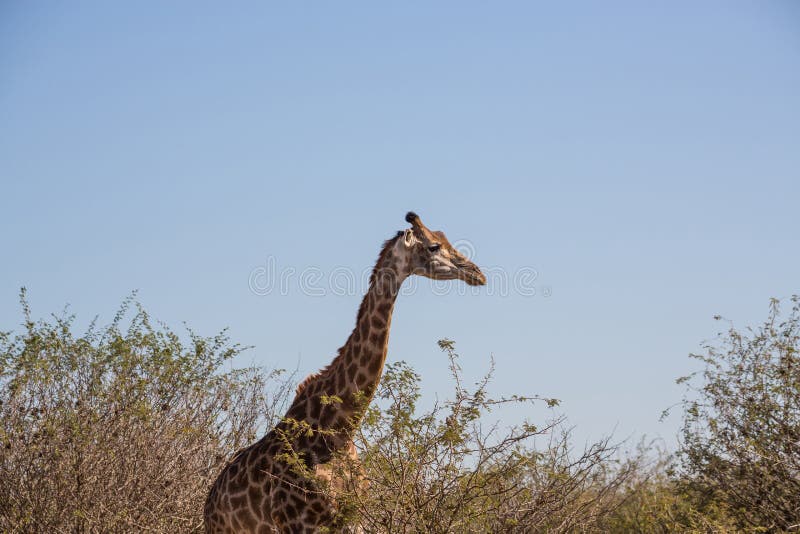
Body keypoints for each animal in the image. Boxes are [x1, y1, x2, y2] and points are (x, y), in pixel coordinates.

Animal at [204, 212, 486, 533]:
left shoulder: (354, 520)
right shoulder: (299, 522)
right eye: (434, 246)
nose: (477, 273)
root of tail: (209, 503)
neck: (339, 428)